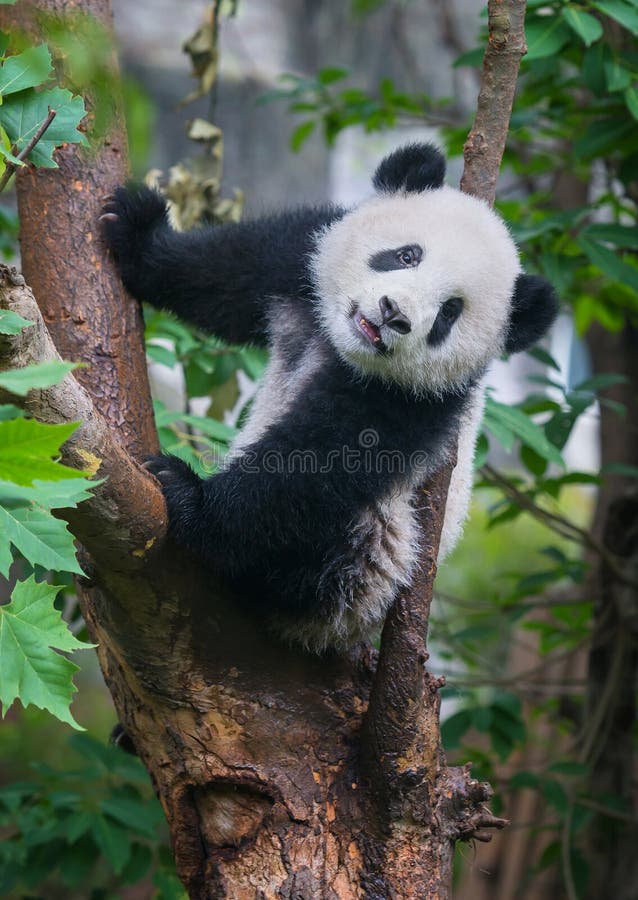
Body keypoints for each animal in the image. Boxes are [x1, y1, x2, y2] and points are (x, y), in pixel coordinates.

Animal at [101, 143, 557, 652]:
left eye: (449, 313)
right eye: (406, 255)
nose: (393, 314)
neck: (341, 347)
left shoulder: (418, 401)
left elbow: (319, 462)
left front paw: (189, 496)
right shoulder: (302, 256)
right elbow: (224, 273)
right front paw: (137, 234)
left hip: (366, 565)